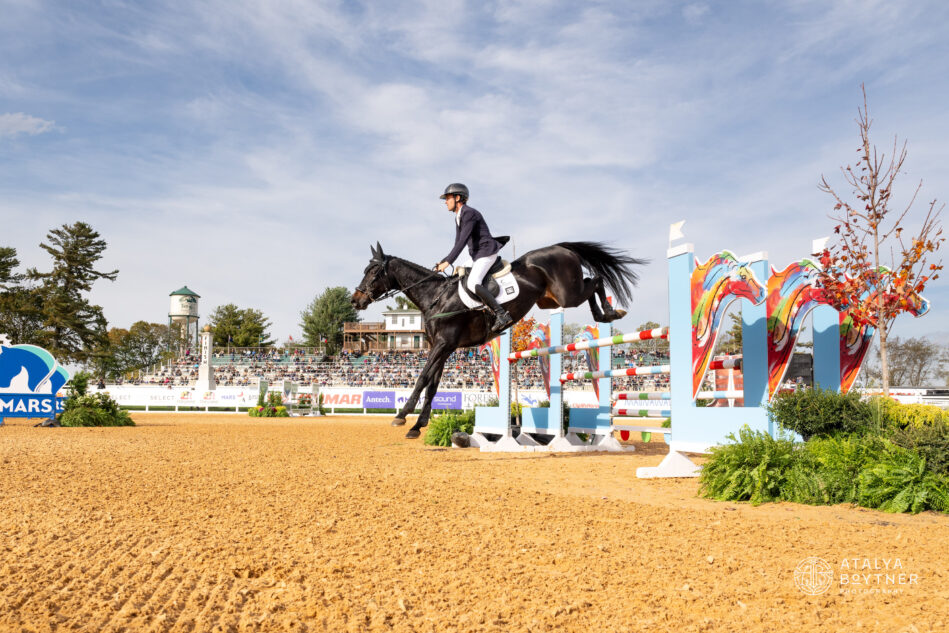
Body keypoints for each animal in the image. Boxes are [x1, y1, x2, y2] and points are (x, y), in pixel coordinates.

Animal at [351, 241, 646, 438]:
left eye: (373, 272)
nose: (356, 300)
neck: (436, 298)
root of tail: (561, 248)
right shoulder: (444, 348)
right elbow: (432, 385)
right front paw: (417, 425)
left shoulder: (443, 344)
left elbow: (422, 377)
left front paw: (402, 415)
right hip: (551, 298)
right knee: (592, 282)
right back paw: (606, 314)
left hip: (567, 294)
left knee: (596, 280)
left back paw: (609, 311)